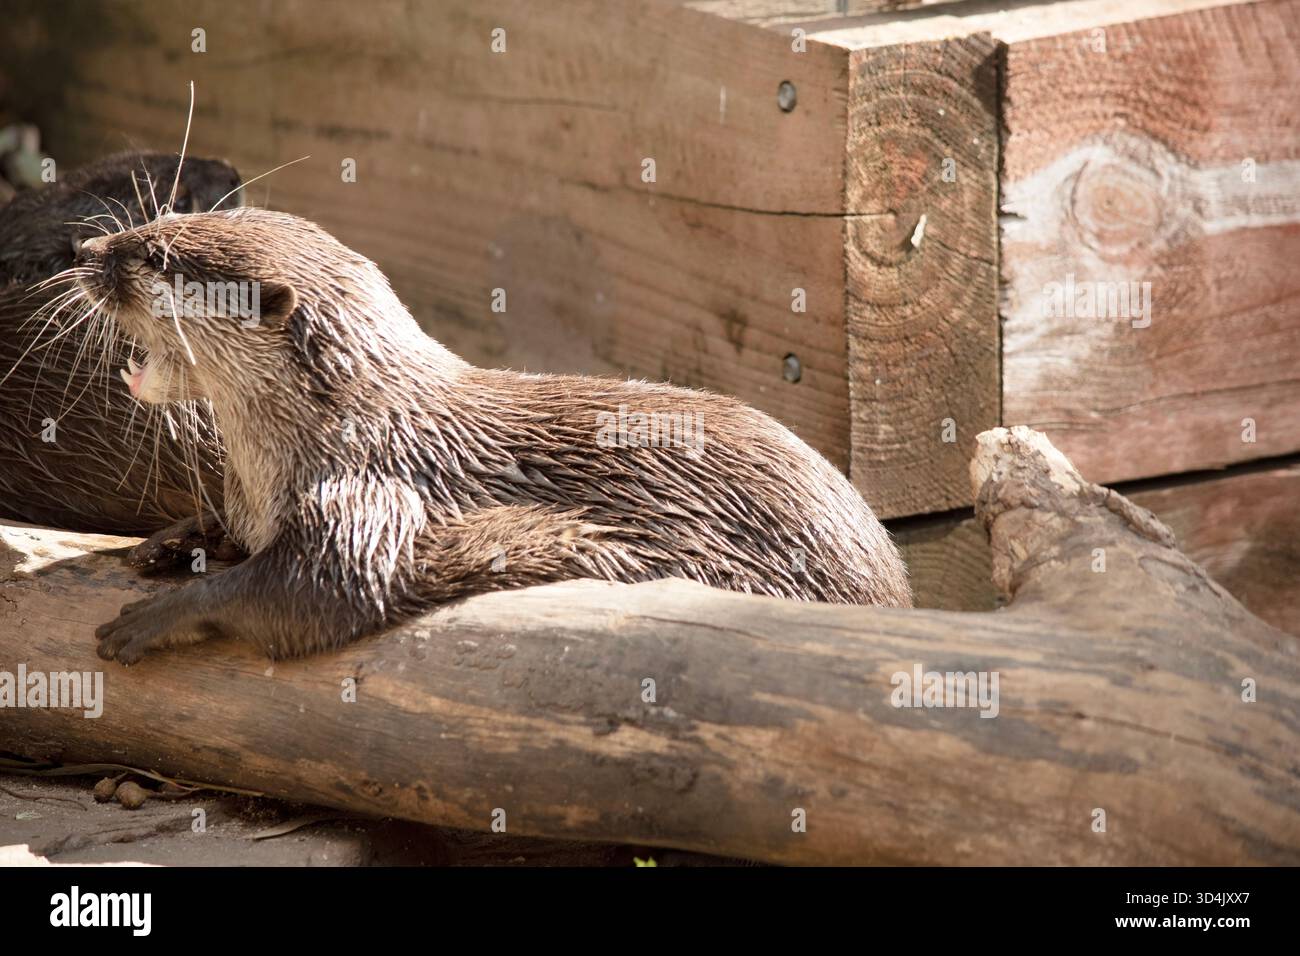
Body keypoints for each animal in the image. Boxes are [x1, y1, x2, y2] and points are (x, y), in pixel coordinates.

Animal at [72, 208, 912, 664]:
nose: (86, 254)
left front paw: (156, 617)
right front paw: (171, 540)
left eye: (155, 257)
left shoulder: (372, 490)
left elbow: (321, 585)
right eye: (155, 223)